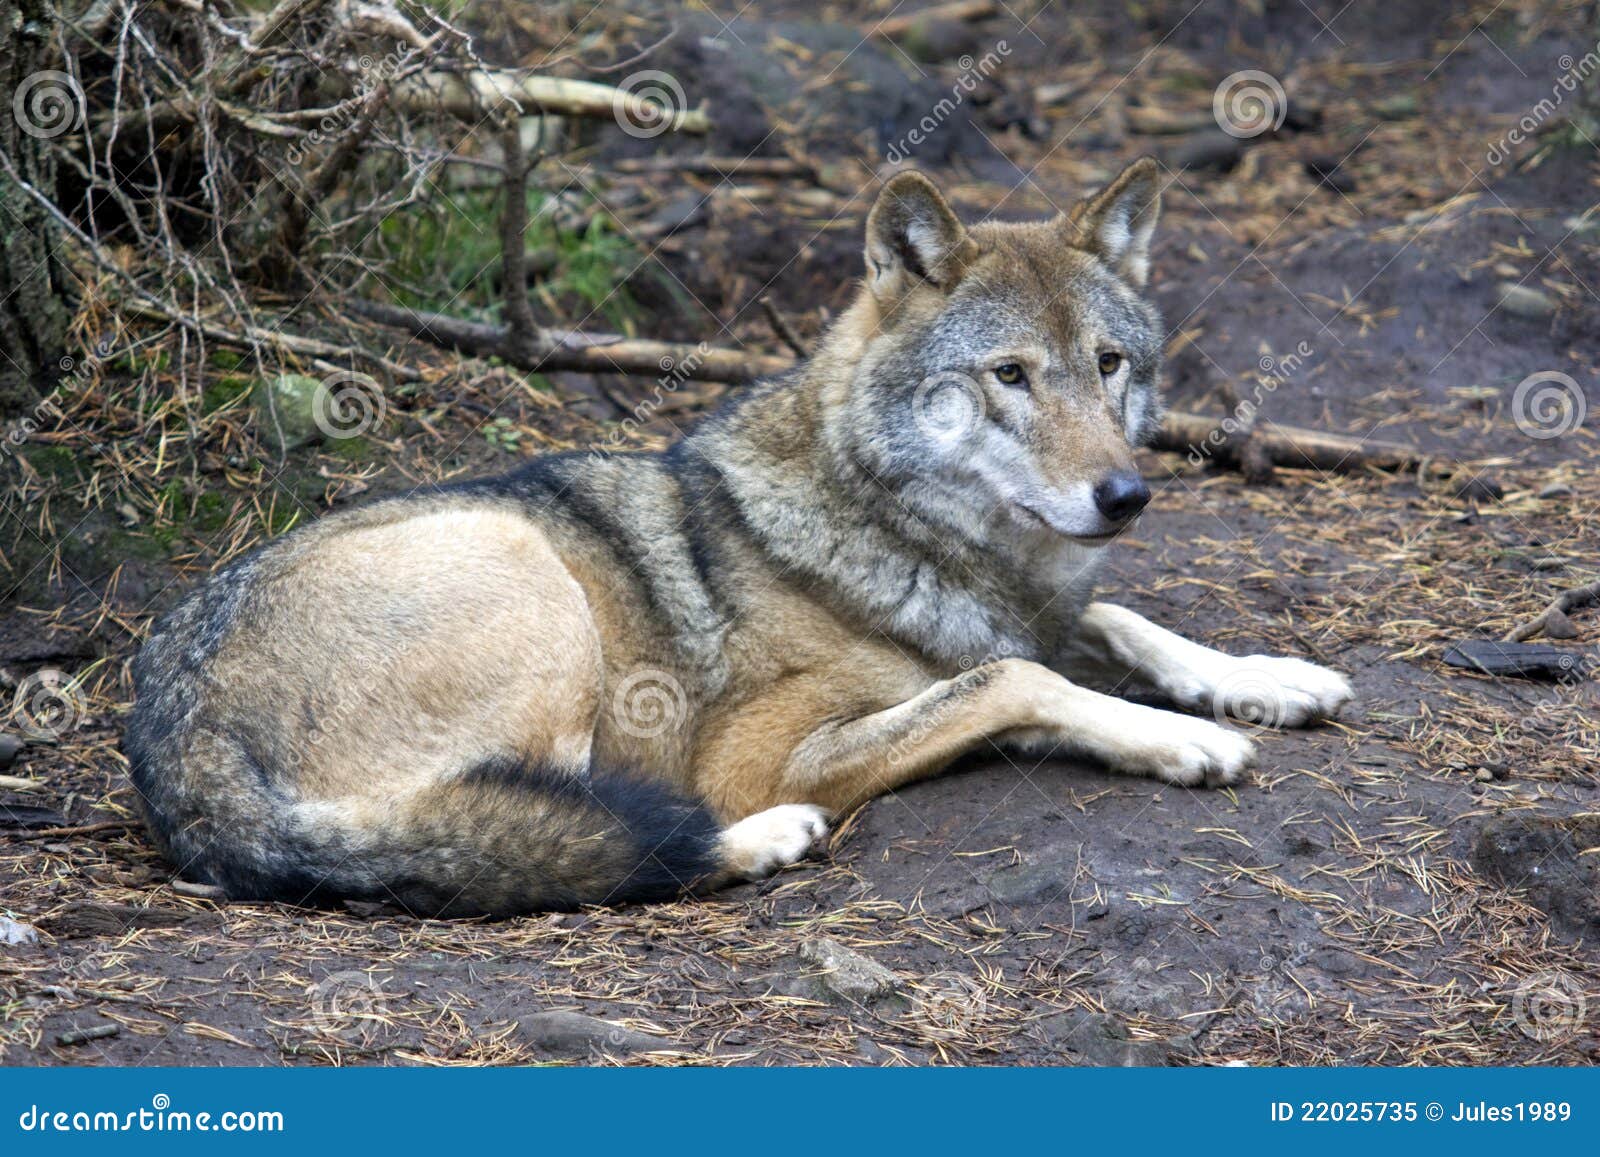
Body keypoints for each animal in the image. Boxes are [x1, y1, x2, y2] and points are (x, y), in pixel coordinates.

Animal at [125, 159, 1352, 916]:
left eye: (1109, 364)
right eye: (1009, 375)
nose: (1124, 495)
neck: (897, 530)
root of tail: (175, 749)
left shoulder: (1046, 607)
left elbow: (1118, 619)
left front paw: (1267, 678)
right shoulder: (759, 750)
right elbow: (1018, 679)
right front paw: (1180, 739)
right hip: (533, 588)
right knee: (561, 841)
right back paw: (761, 840)